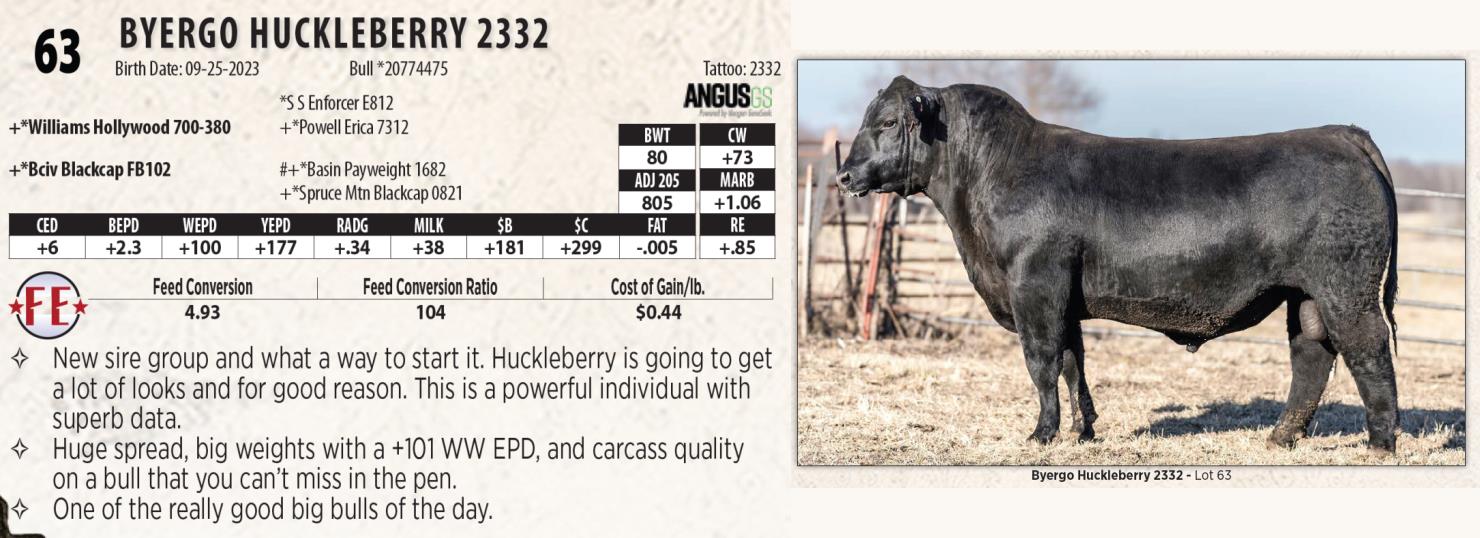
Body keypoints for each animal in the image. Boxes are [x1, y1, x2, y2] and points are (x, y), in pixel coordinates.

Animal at [836, 76, 1400, 454]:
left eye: (888, 122)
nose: (843, 175)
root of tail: (1338, 133)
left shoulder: (1034, 286)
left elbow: (1041, 361)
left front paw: (1041, 434)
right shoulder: (1063, 300)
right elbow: (1072, 361)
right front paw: (1082, 430)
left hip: (1346, 288)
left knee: (1367, 349)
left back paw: (1380, 443)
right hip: (1306, 294)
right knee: (1312, 355)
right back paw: (1280, 438)